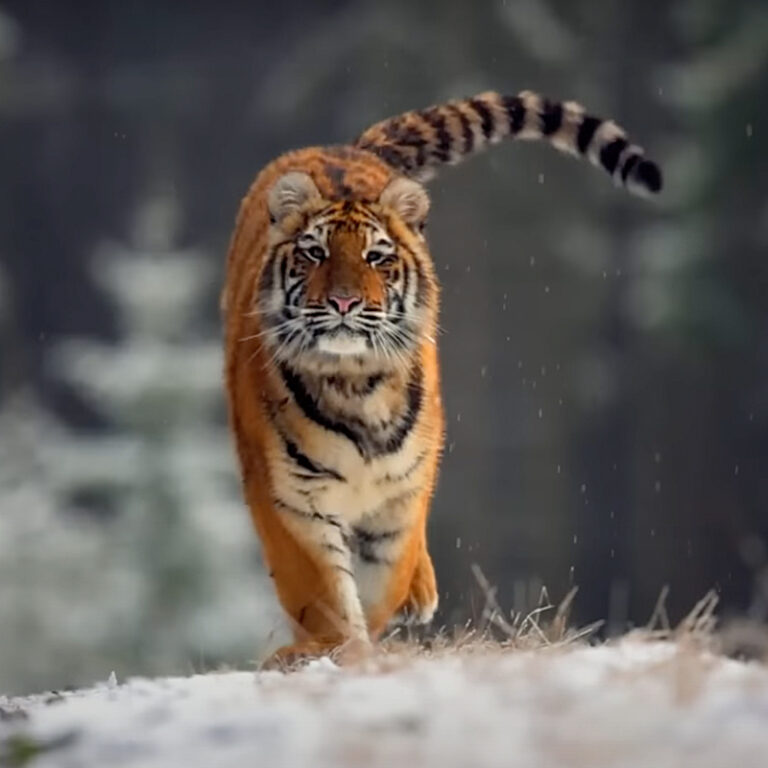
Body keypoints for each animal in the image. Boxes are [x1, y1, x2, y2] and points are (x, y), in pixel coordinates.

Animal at [223, 89, 662, 667]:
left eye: (376, 257)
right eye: (314, 253)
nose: (343, 302)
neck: (353, 382)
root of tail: (344, 146)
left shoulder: (402, 490)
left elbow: (384, 576)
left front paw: (371, 630)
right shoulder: (290, 496)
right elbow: (320, 588)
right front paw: (331, 647)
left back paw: (419, 594)